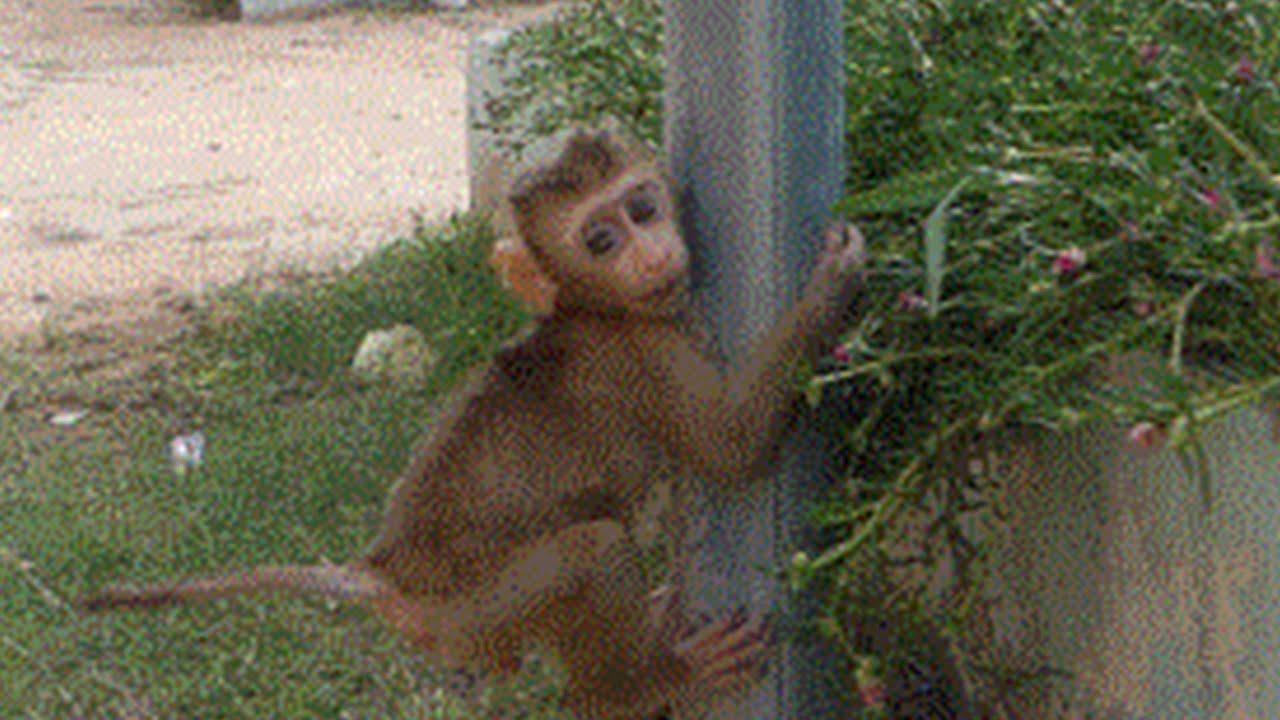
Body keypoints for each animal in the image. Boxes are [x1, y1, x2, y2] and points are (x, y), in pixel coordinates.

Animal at [80, 129, 867, 718]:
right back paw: (636, 685)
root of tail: (383, 572)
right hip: (479, 608)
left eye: (643, 207)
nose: (650, 250)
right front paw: (833, 290)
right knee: (593, 552)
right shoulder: (647, 351)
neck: (585, 309)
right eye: (601, 240)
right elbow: (732, 450)